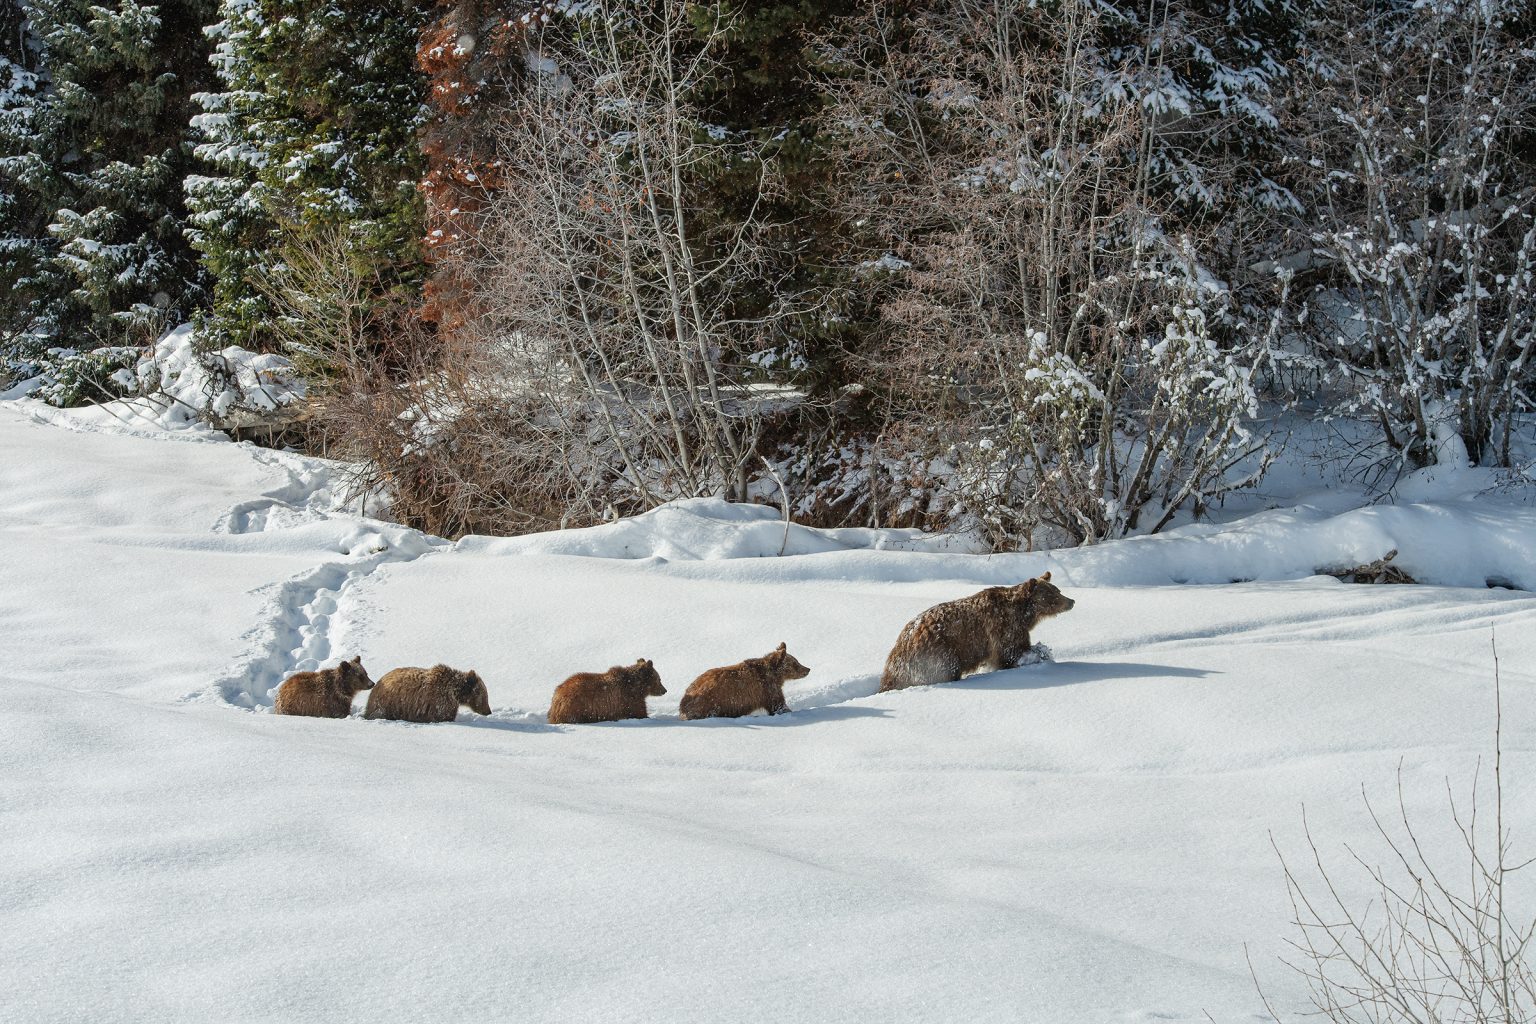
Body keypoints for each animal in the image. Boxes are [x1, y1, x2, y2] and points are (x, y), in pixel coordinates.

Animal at [678, 643, 810, 720]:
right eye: (795, 663)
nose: (808, 669)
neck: (775, 675)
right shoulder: (767, 688)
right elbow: (778, 705)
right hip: (711, 703)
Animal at [879, 572, 1074, 692]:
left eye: (1058, 590)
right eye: (1052, 594)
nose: (1071, 601)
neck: (1024, 614)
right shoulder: (1004, 626)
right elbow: (1011, 652)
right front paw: (1038, 654)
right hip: (938, 651)